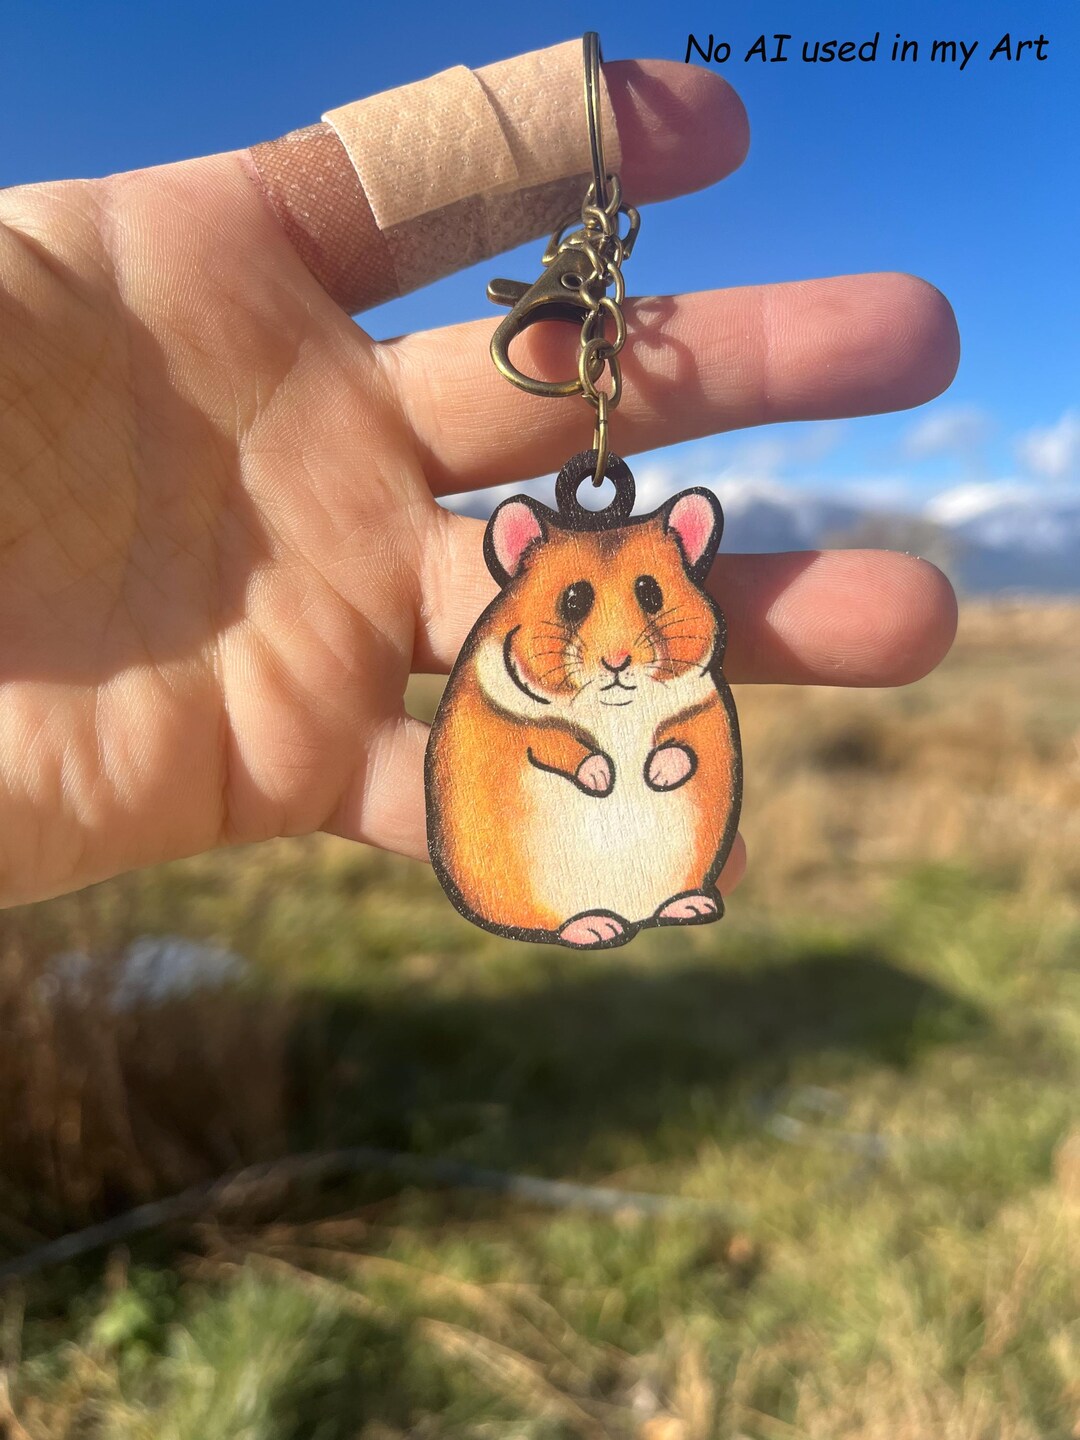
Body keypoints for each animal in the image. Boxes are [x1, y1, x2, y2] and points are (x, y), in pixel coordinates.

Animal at [426, 483, 742, 949]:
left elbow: (687, 741)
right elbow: (557, 741)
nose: (617, 661)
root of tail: (632, 914)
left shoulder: (704, 709)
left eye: (651, 593)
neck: (615, 712)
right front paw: (603, 777)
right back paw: (594, 927)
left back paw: (688, 906)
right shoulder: (518, 723)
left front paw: (656, 773)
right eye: (573, 600)